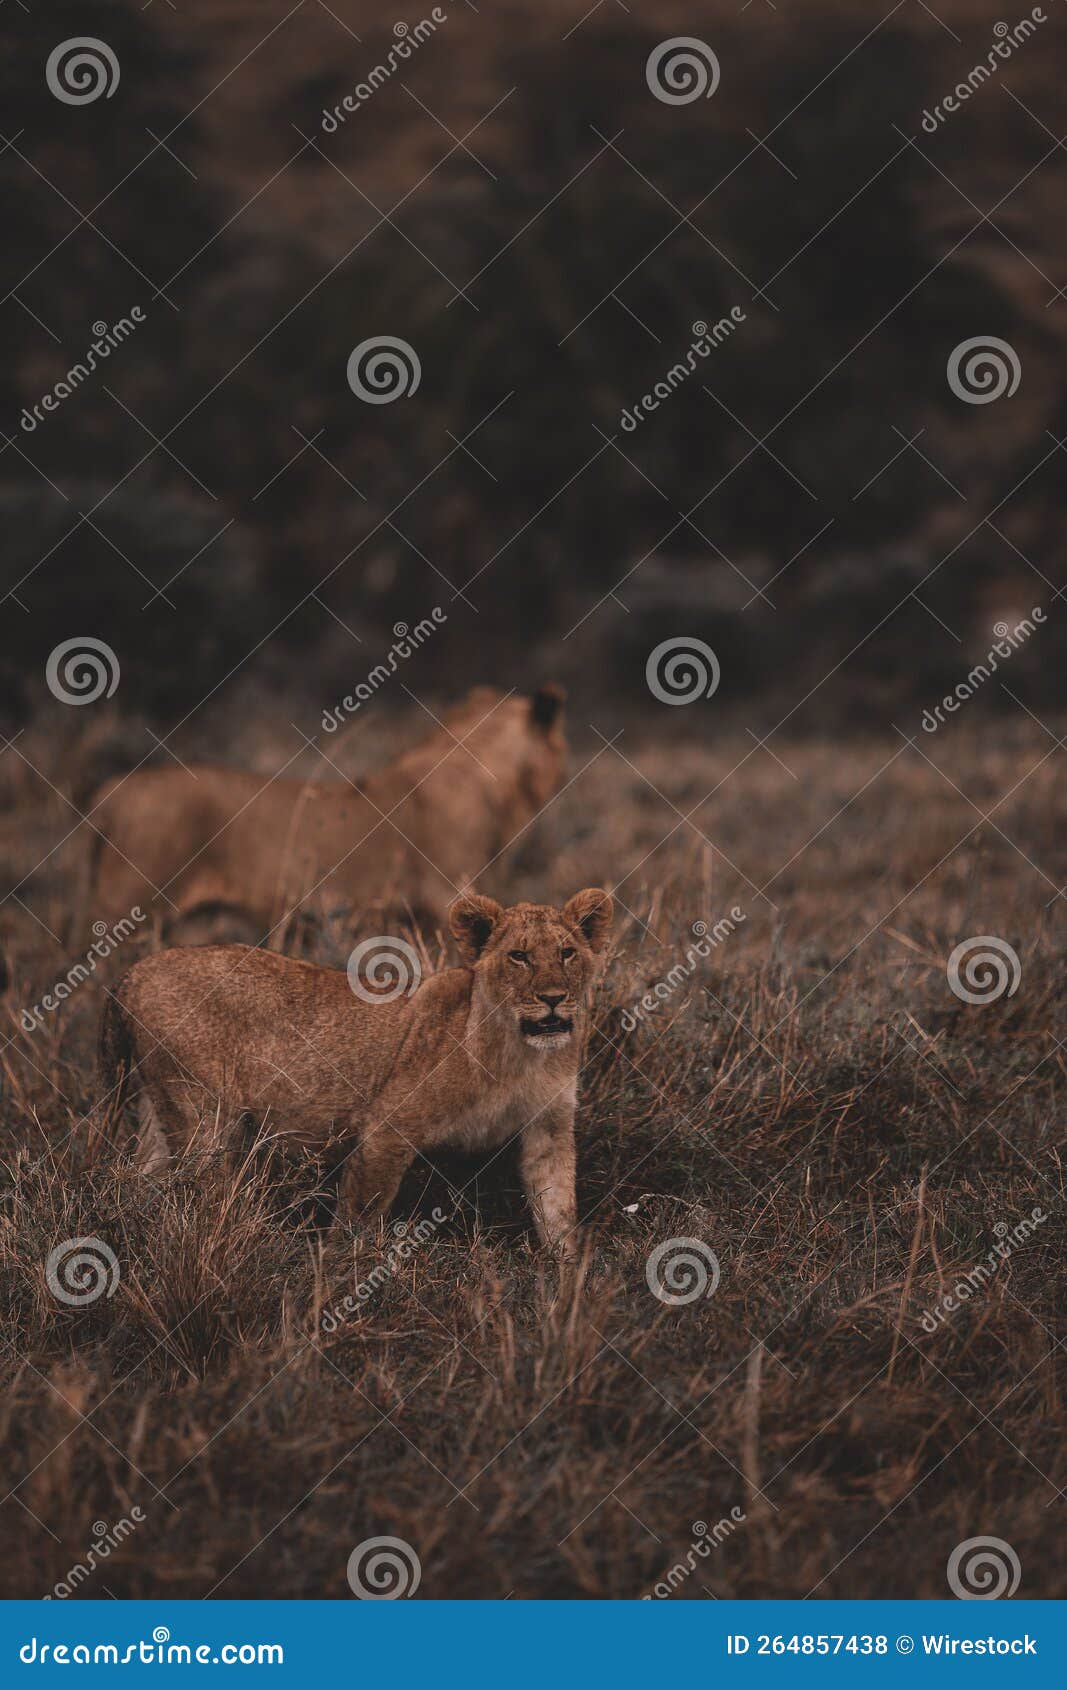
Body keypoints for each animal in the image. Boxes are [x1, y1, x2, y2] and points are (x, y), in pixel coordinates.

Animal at [98, 888, 614, 1253]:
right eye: (519, 956)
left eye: (566, 953)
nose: (553, 998)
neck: (524, 1054)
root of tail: (132, 973)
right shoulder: (387, 1127)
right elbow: (359, 1220)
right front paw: (341, 1278)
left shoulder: (548, 1127)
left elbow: (557, 1208)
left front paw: (568, 1284)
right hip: (201, 1112)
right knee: (199, 1192)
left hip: (159, 1107)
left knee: (138, 1180)